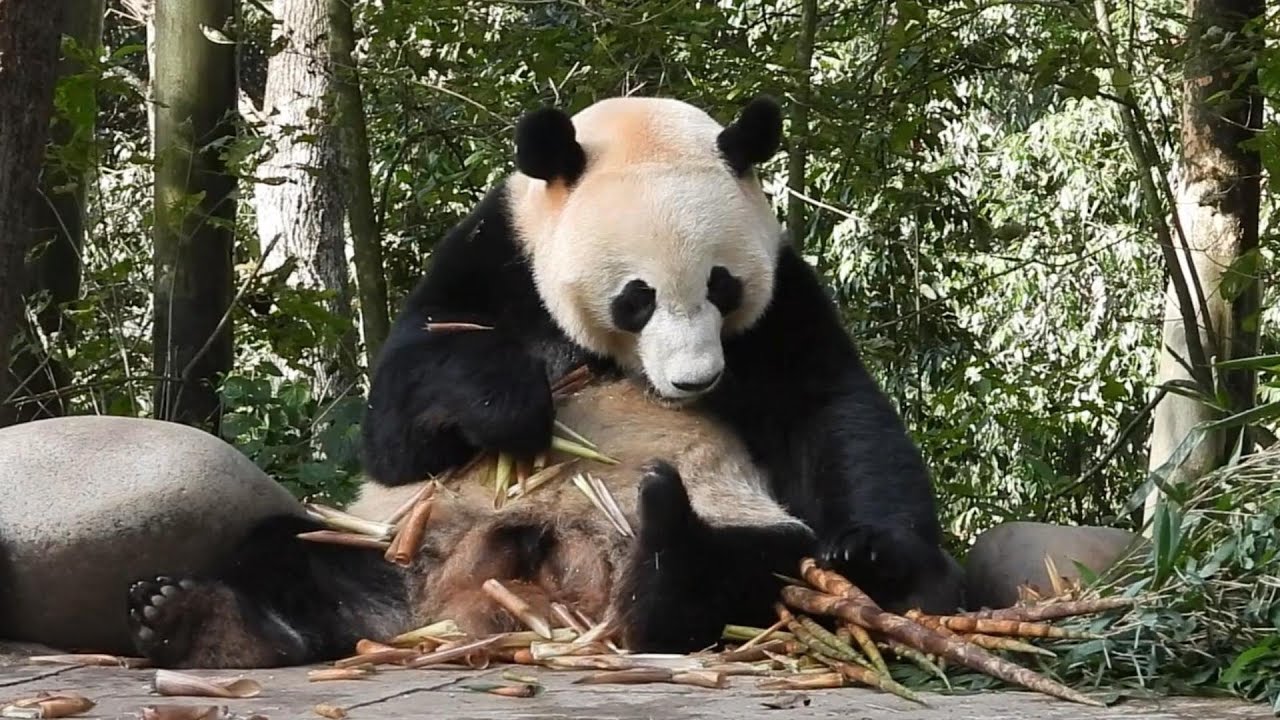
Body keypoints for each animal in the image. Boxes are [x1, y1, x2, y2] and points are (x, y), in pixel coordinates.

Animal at [124, 94, 964, 669]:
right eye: (637, 297)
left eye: (723, 287)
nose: (695, 382)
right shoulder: (494, 254)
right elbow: (398, 419)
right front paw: (514, 406)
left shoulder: (782, 295)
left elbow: (831, 410)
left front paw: (870, 549)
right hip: (403, 534)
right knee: (290, 549)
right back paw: (200, 620)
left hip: (732, 531)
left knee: (756, 568)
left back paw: (668, 551)